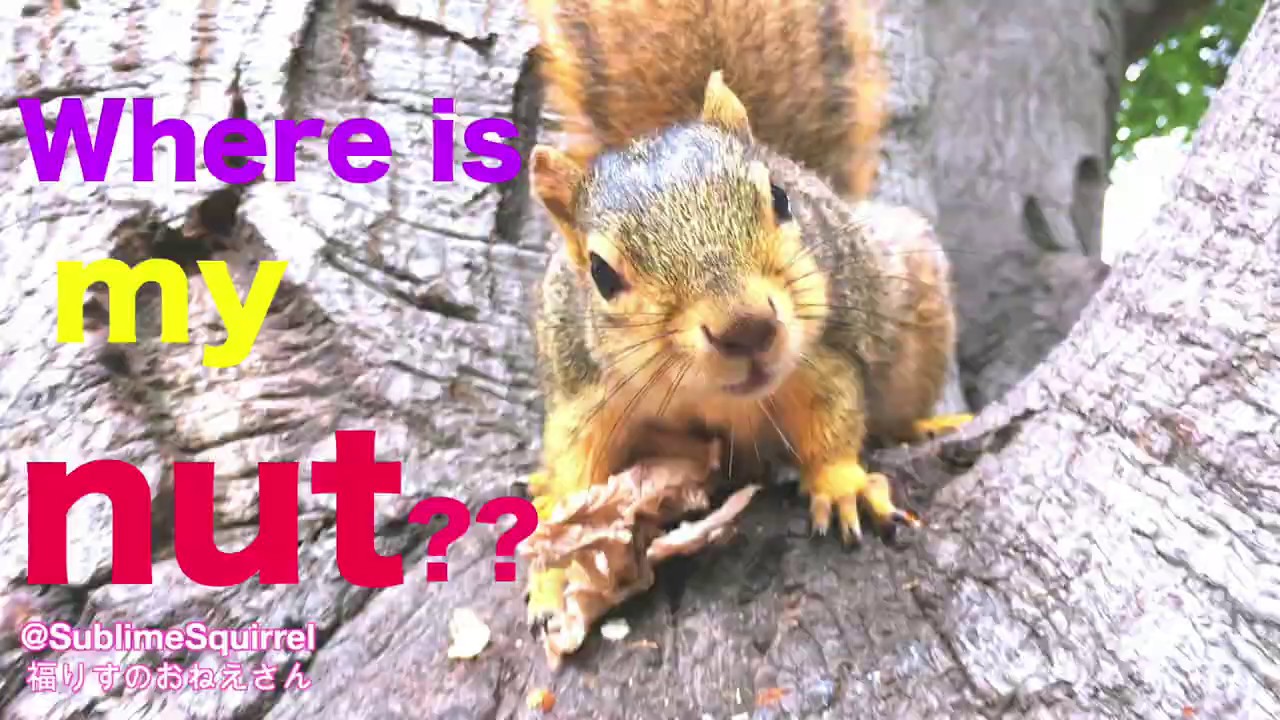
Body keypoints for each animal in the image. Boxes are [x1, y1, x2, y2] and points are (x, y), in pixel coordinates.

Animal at [521, 0, 972, 633]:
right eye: (602, 274)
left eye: (781, 200)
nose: (747, 327)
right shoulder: (586, 397)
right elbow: (576, 471)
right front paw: (559, 568)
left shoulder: (819, 354)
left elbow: (832, 421)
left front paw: (844, 484)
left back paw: (923, 425)